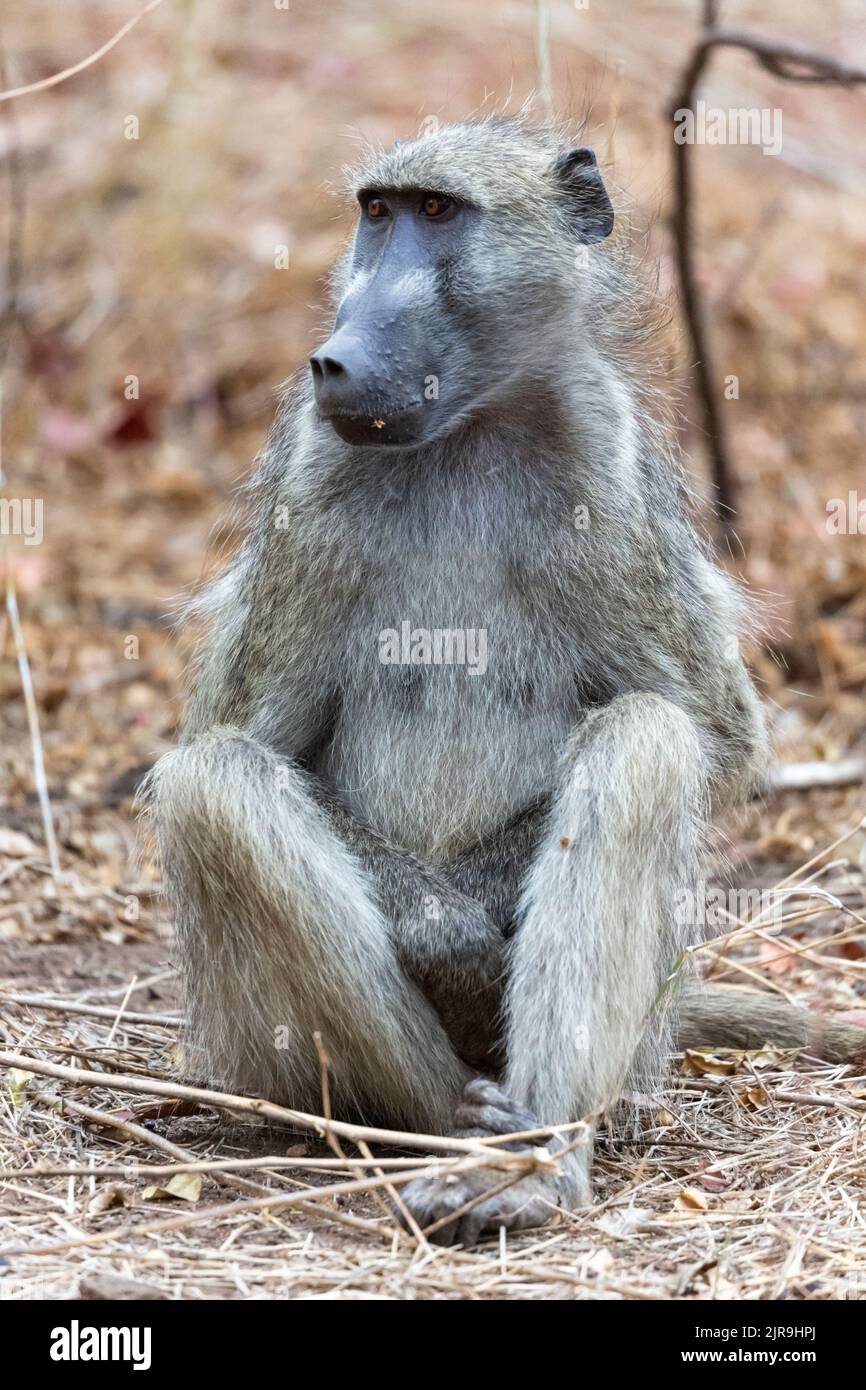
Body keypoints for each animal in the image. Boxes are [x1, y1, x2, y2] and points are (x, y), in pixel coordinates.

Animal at [146, 117, 866, 1246]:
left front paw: (468, 921)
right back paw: (449, 1130)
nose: (337, 357)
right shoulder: (312, 471)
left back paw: (532, 1161)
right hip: (263, 1049)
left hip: (643, 1035)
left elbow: (712, 733)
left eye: (439, 213)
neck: (470, 430)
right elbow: (241, 737)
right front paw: (440, 925)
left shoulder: (607, 463)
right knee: (212, 783)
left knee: (641, 739)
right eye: (376, 213)